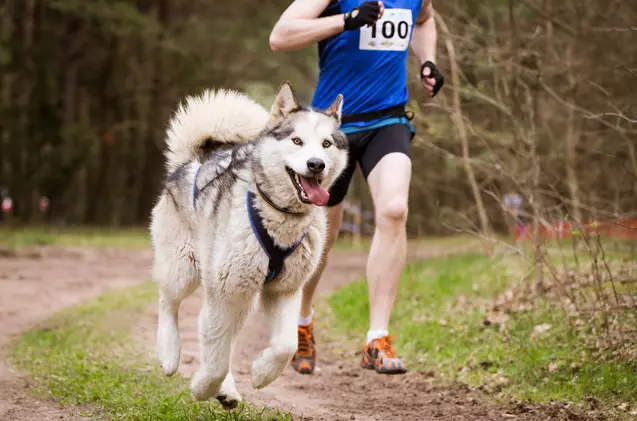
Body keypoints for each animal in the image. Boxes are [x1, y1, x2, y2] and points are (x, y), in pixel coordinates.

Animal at [149, 81, 348, 406]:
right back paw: (169, 354)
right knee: (168, 303)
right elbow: (215, 361)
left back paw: (227, 390)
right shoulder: (224, 293)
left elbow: (285, 346)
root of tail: (191, 161)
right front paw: (203, 387)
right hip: (184, 269)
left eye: (327, 144)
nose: (316, 164)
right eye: (297, 140)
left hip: (240, 297)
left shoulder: (284, 290)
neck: (279, 216)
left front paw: (261, 374)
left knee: (225, 340)